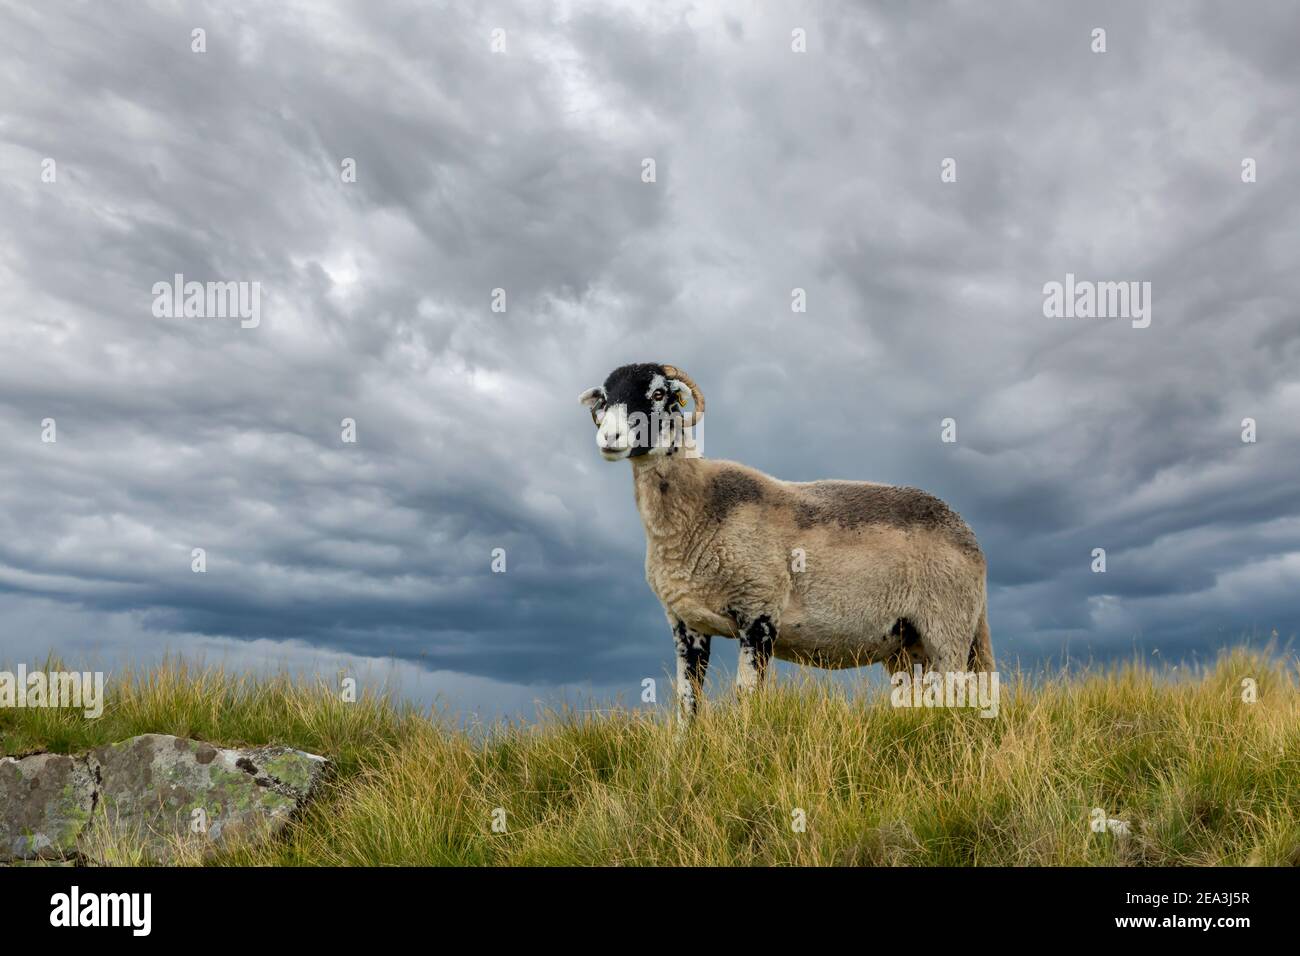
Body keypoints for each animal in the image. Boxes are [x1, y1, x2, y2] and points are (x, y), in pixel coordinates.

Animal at [579, 362, 994, 723]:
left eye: (659, 393)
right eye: (605, 399)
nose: (609, 438)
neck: (701, 505)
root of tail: (966, 531)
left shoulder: (759, 612)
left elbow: (747, 696)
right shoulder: (686, 623)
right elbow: (687, 701)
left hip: (948, 628)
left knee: (958, 693)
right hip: (906, 644)